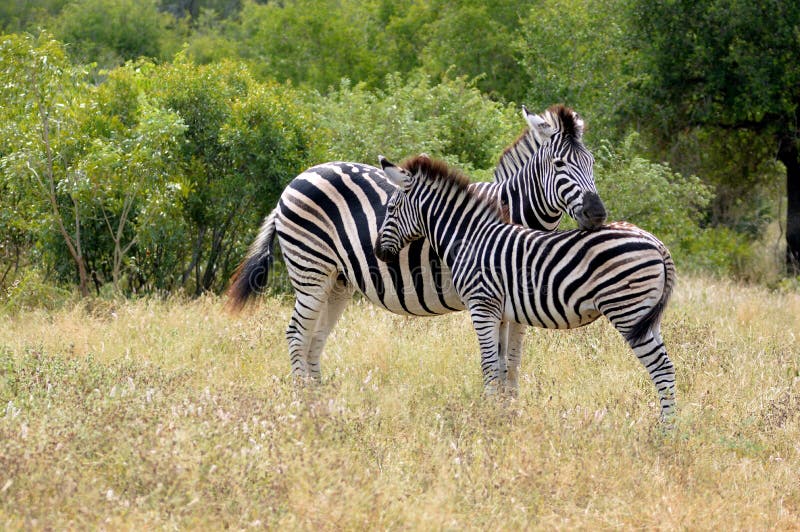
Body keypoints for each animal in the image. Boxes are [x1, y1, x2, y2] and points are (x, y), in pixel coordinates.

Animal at [228, 105, 607, 390]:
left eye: (592, 162)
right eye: (559, 165)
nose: (597, 213)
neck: (511, 214)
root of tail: (297, 179)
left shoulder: (515, 303)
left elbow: (511, 363)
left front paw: (511, 412)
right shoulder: (493, 299)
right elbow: (499, 363)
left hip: (337, 281)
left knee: (313, 340)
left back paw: (319, 403)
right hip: (311, 270)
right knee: (296, 334)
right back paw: (303, 405)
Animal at [374, 155, 676, 420]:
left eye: (390, 209)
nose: (378, 251)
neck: (470, 238)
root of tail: (656, 243)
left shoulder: (481, 306)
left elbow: (488, 366)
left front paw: (486, 417)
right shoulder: (500, 313)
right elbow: (500, 365)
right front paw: (499, 414)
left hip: (628, 310)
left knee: (660, 368)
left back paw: (666, 431)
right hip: (646, 316)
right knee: (667, 367)